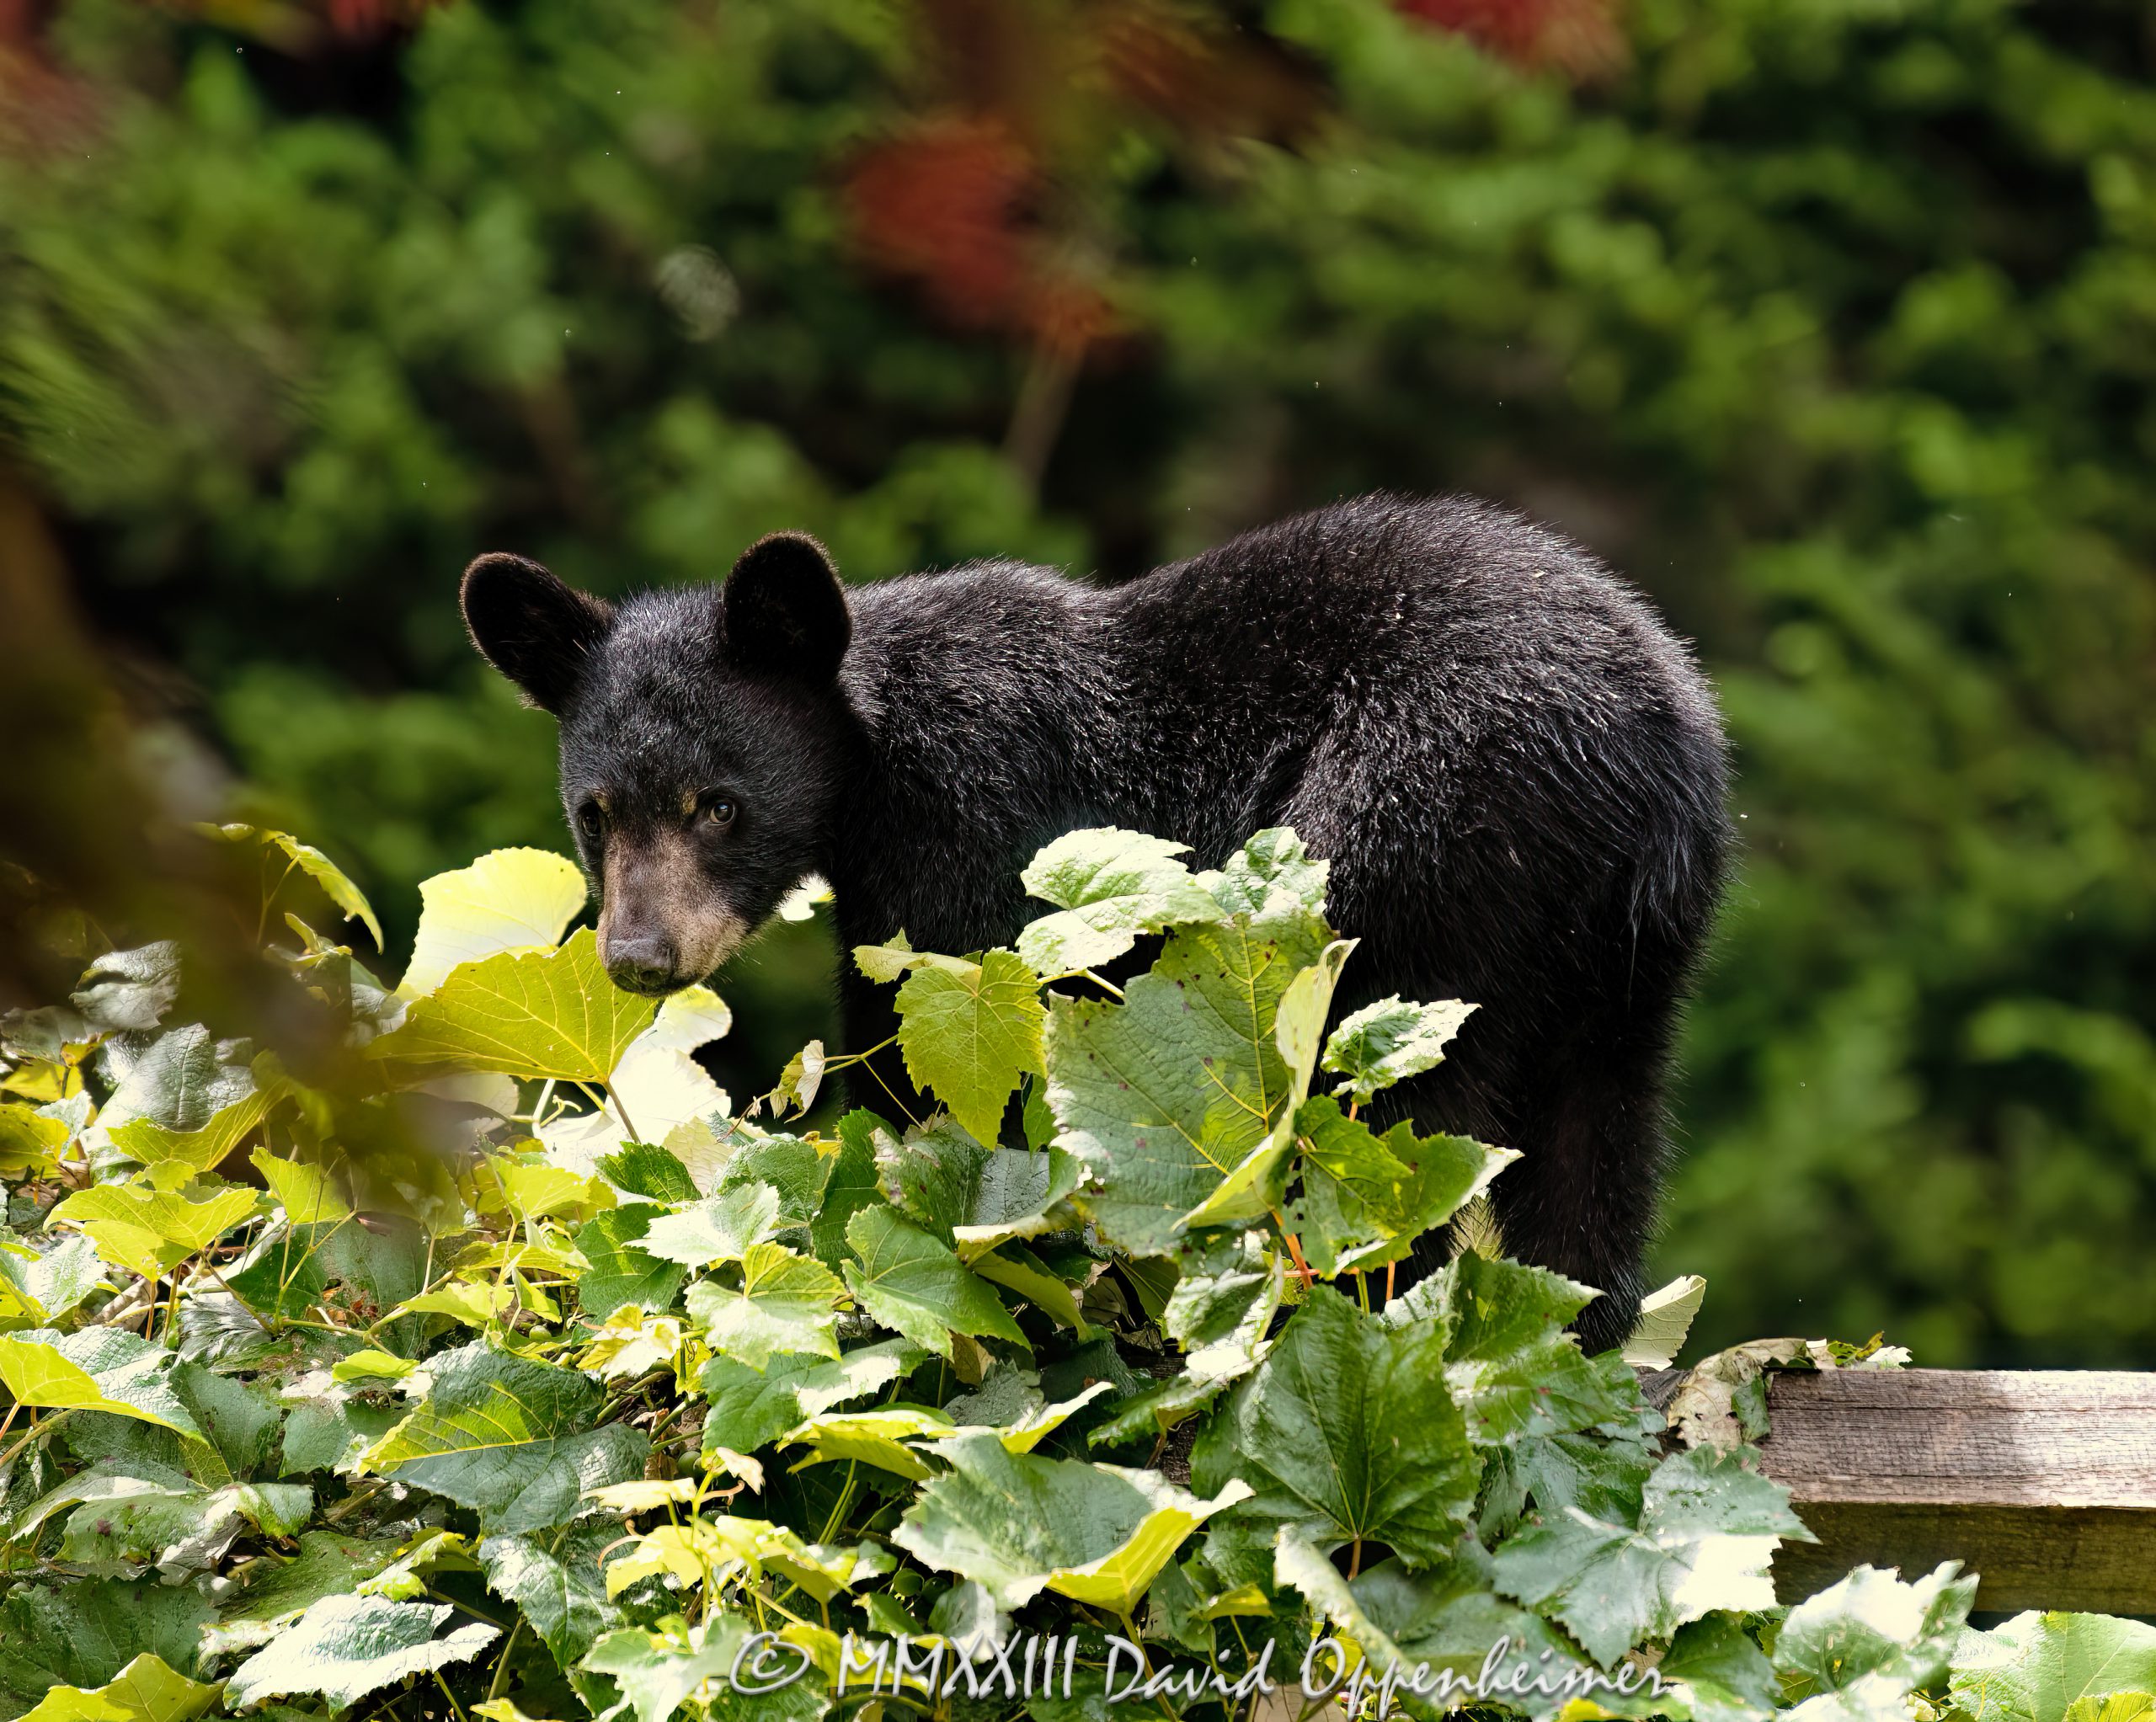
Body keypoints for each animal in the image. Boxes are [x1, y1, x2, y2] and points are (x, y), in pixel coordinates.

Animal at [460, 493, 1729, 1351]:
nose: (639, 955)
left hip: (1417, 837)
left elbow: (950, 1082)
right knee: (1597, 1138)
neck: (871, 763)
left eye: (718, 803)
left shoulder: (971, 843)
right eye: (595, 812)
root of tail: (1639, 749)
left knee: (1385, 1107)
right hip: (1626, 953)